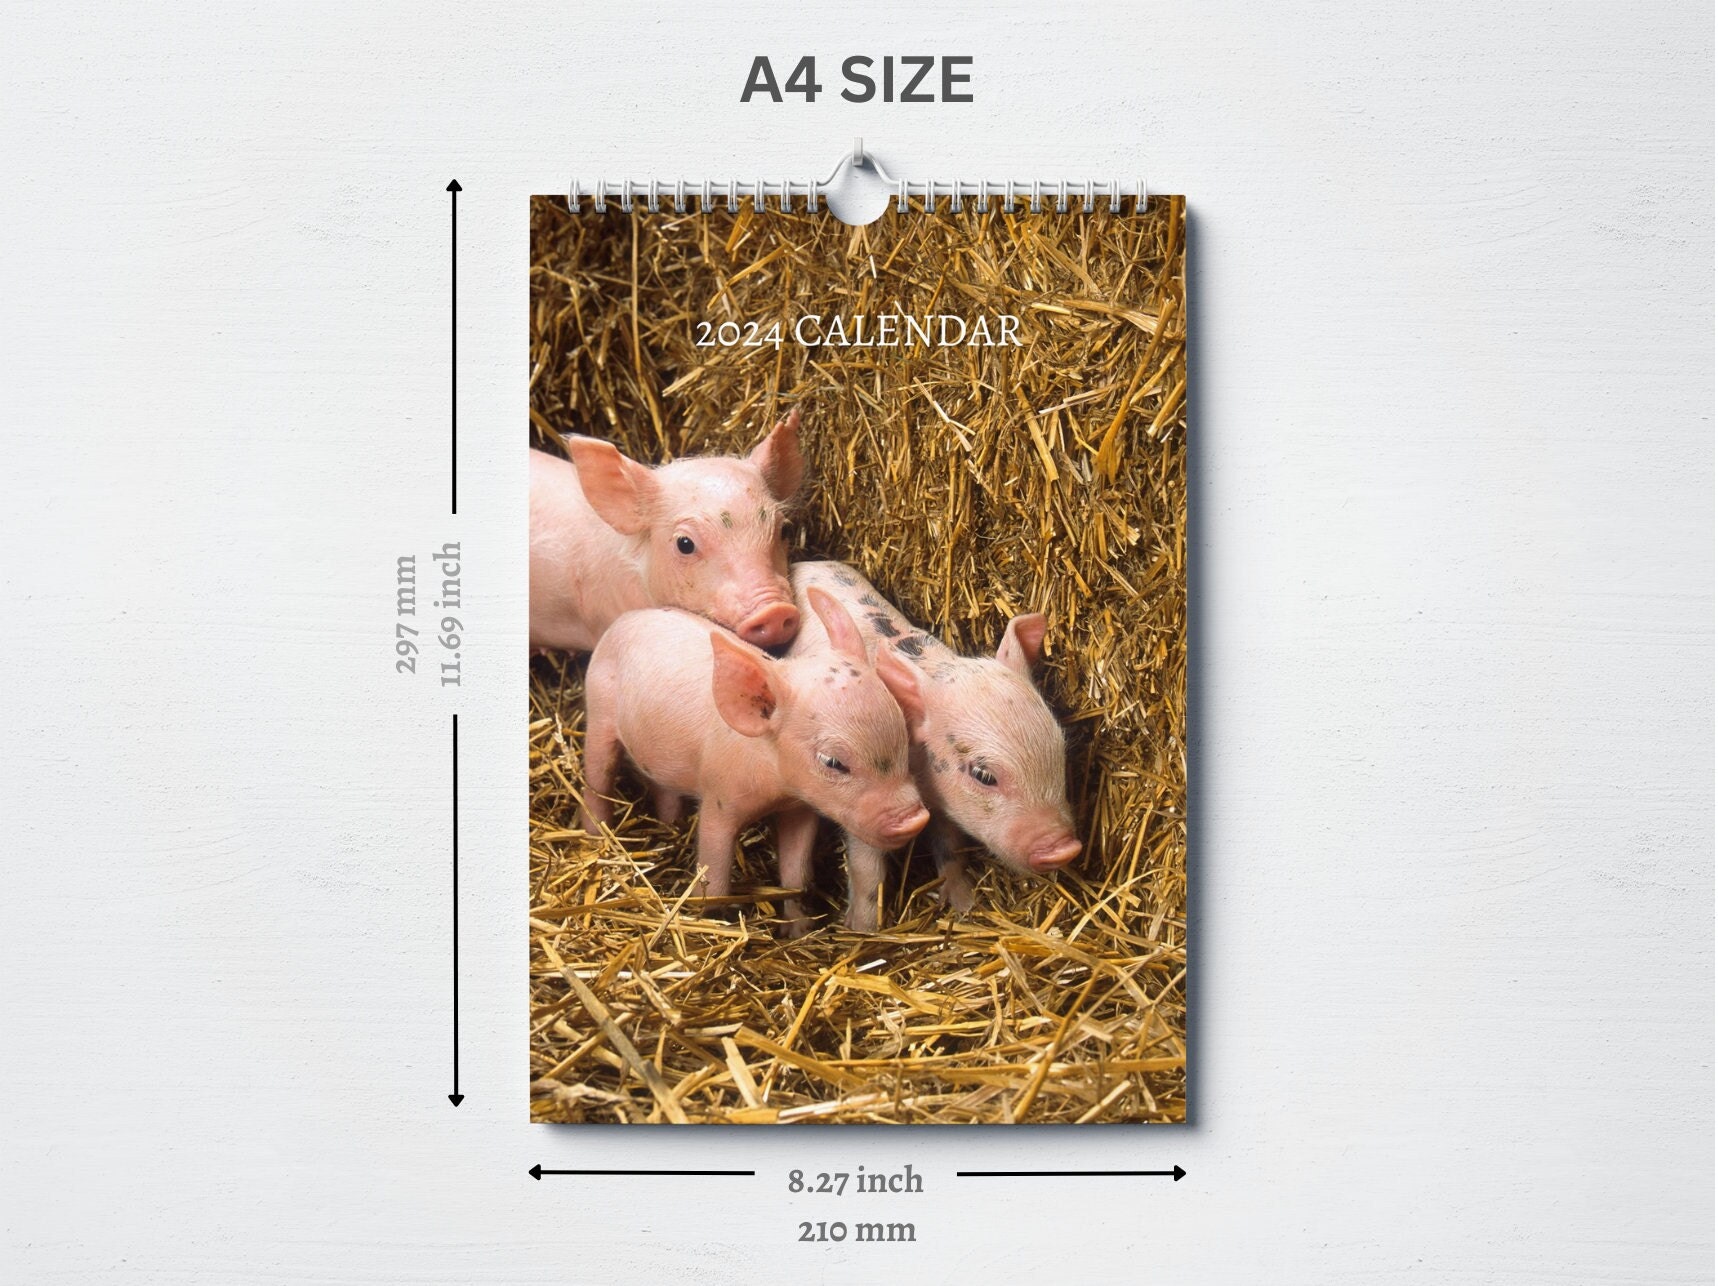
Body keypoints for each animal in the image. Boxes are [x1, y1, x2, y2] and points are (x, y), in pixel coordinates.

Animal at [578, 587, 931, 936]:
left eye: (902, 734)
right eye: (832, 761)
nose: (915, 819)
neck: (774, 788)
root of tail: (625, 619)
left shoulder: (799, 808)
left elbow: (796, 873)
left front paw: (799, 932)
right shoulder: (718, 798)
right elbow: (715, 871)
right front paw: (714, 920)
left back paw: (670, 823)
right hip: (599, 711)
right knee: (596, 779)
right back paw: (597, 835)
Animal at [787, 561, 1081, 930]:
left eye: (1060, 751)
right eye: (984, 775)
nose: (1066, 849)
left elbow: (949, 847)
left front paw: (964, 905)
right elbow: (867, 865)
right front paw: (862, 929)